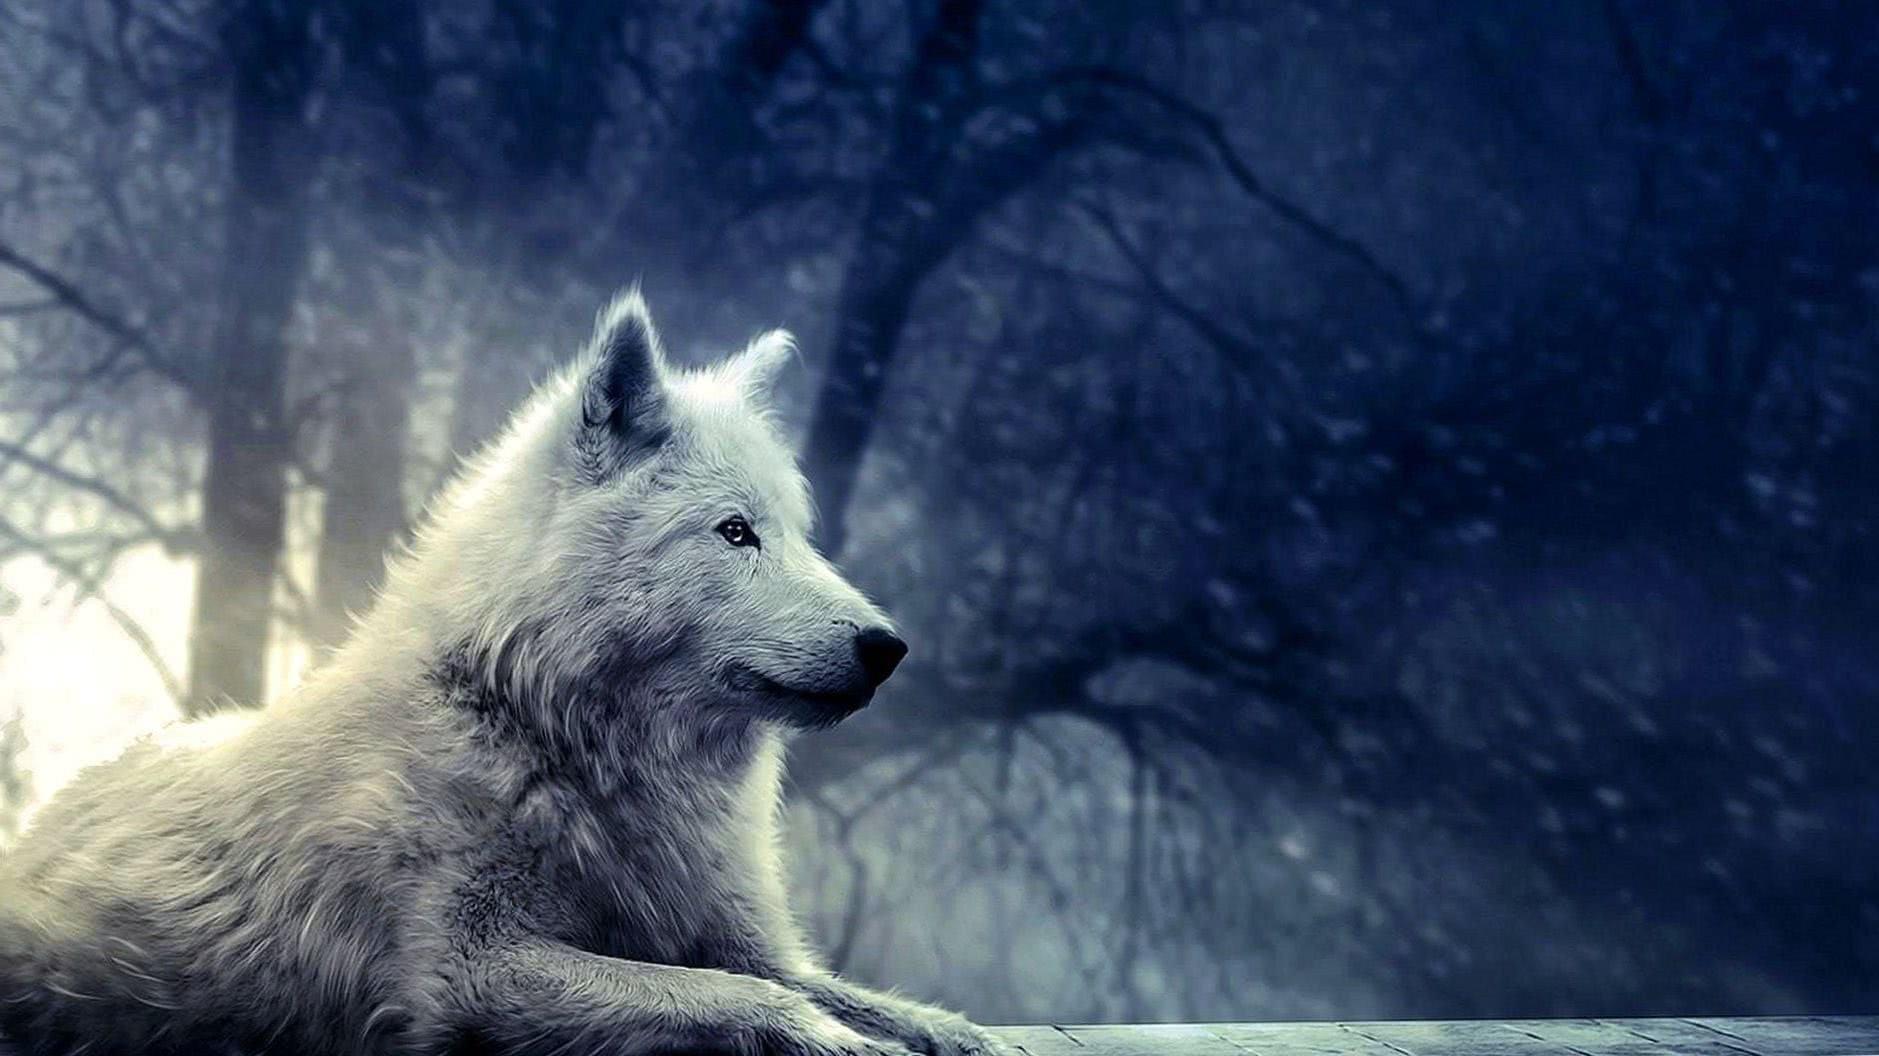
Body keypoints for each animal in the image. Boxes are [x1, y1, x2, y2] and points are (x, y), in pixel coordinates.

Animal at [0, 294, 1004, 1056]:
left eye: (798, 534)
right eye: (734, 532)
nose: (888, 647)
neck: (540, 731)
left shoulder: (749, 941)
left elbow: (856, 997)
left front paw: (956, 1034)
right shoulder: (471, 971)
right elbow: (734, 996)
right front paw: (841, 1043)